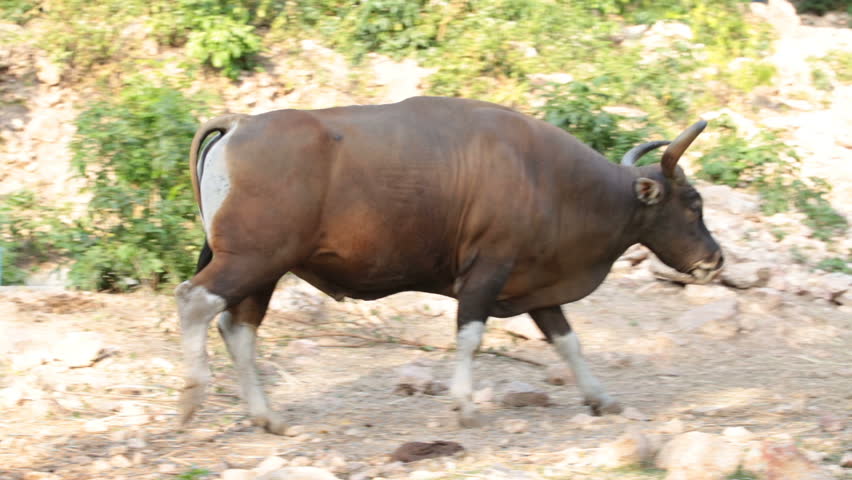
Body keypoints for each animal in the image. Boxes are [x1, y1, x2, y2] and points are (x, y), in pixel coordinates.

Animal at [175, 96, 723, 434]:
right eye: (693, 202)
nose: (714, 259)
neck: (545, 178)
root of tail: (239, 124)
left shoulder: (535, 286)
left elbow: (568, 342)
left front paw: (601, 398)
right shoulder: (486, 272)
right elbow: (470, 336)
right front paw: (464, 405)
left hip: (265, 268)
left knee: (238, 328)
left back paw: (266, 417)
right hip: (252, 259)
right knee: (194, 301)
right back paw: (193, 396)